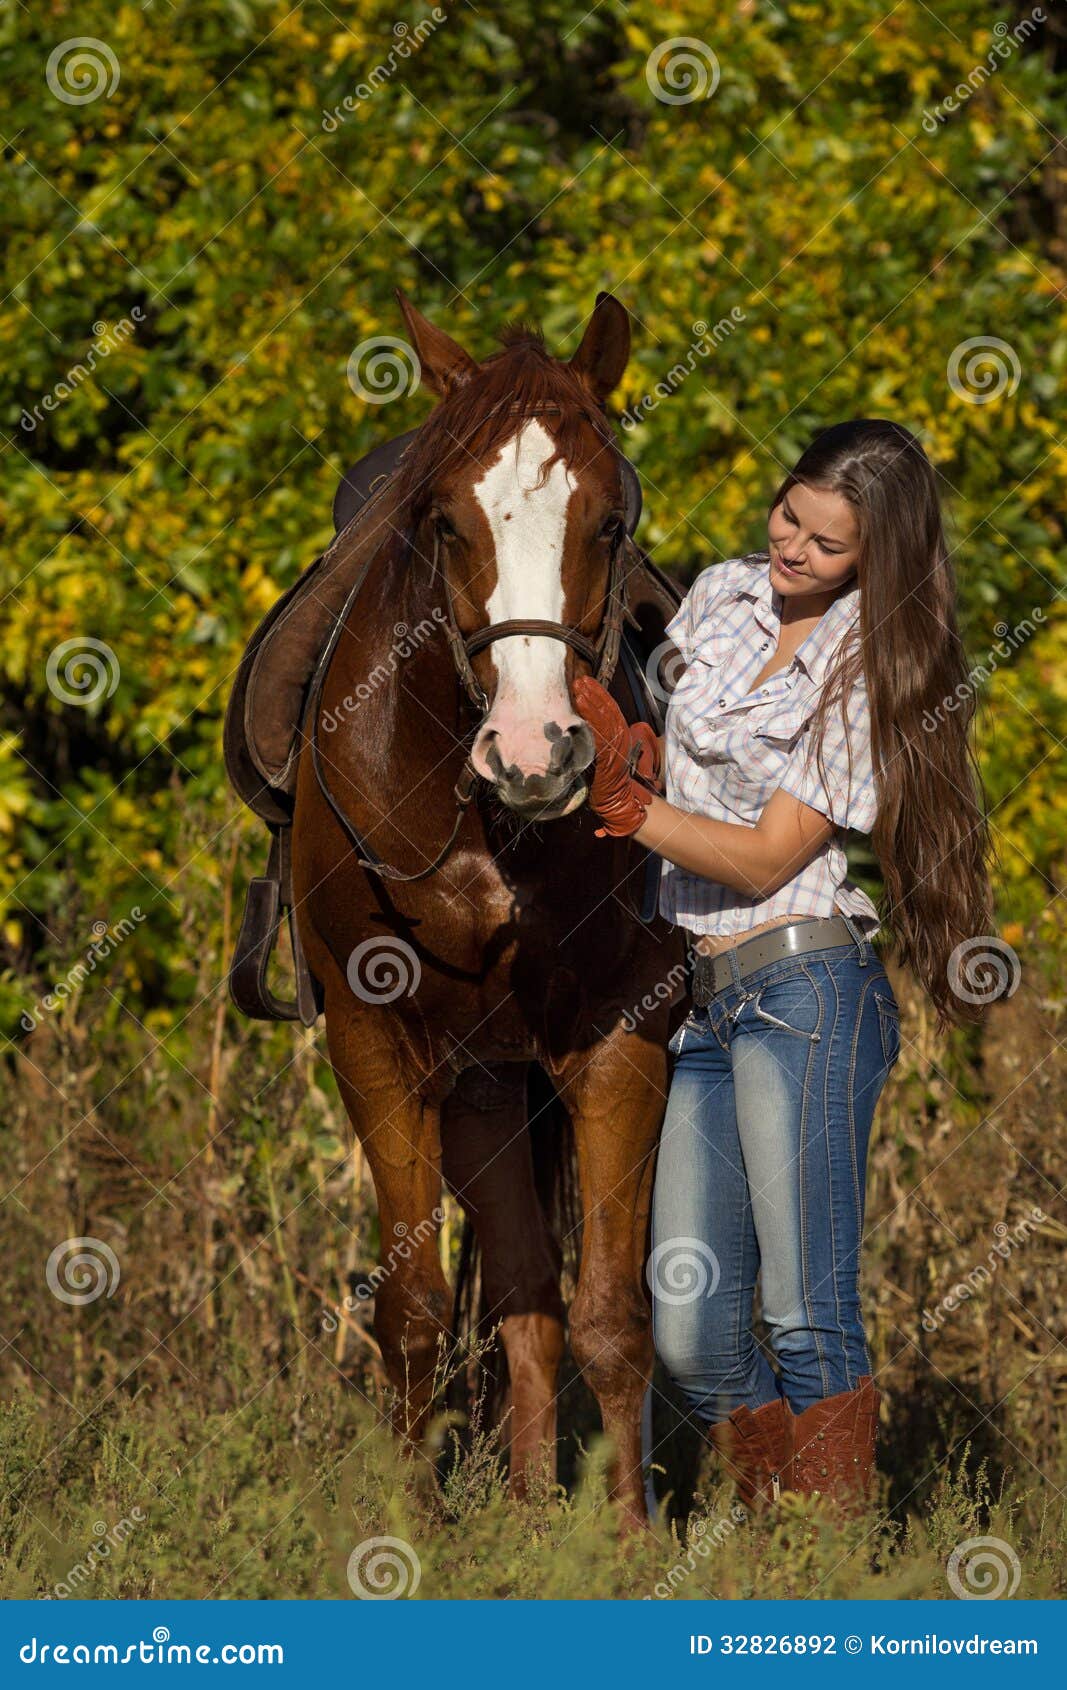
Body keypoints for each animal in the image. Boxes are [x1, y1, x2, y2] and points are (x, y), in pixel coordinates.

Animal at [290, 291, 684, 1524]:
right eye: (447, 523)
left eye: (607, 522)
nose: (531, 753)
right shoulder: (375, 1045)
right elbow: (414, 1310)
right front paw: (405, 1535)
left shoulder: (619, 1038)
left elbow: (610, 1319)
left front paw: (624, 1546)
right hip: (476, 1088)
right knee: (510, 1292)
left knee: (533, 1301)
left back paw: (531, 1512)